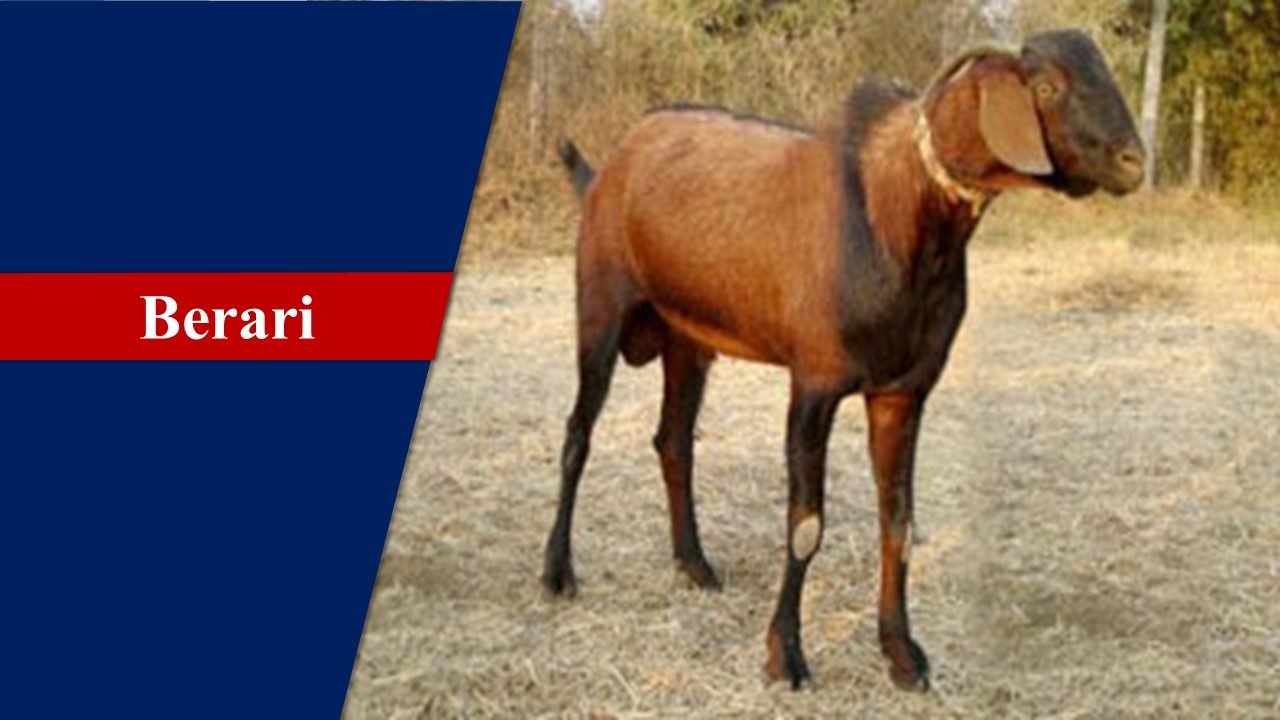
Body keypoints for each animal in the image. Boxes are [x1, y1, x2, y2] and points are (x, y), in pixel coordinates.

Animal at [543, 29, 1143, 691]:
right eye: (1046, 86)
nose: (1133, 161)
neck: (896, 213)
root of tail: (608, 166)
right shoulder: (814, 383)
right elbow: (806, 525)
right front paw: (786, 656)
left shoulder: (903, 391)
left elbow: (899, 523)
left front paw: (902, 654)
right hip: (600, 305)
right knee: (577, 434)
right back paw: (558, 573)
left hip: (687, 340)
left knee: (673, 441)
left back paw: (695, 565)